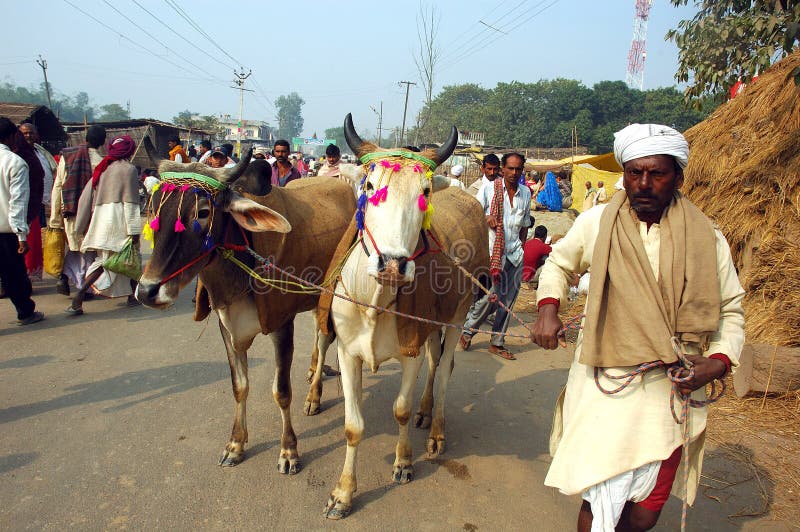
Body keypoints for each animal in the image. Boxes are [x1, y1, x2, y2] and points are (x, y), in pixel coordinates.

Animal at [136, 138, 356, 474]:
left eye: (203, 212)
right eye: (154, 207)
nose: (148, 291)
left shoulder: (281, 324)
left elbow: (281, 391)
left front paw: (288, 451)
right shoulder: (227, 326)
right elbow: (239, 386)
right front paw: (235, 445)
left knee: (323, 337)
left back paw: (314, 395)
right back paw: (312, 370)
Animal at [320, 115, 489, 518]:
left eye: (425, 191)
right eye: (369, 186)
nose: (394, 265)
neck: (374, 302)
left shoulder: (409, 351)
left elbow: (399, 409)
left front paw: (403, 463)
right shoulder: (347, 353)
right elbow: (353, 426)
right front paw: (343, 493)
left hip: (458, 315)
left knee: (444, 367)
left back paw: (436, 430)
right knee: (435, 357)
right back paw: (425, 412)